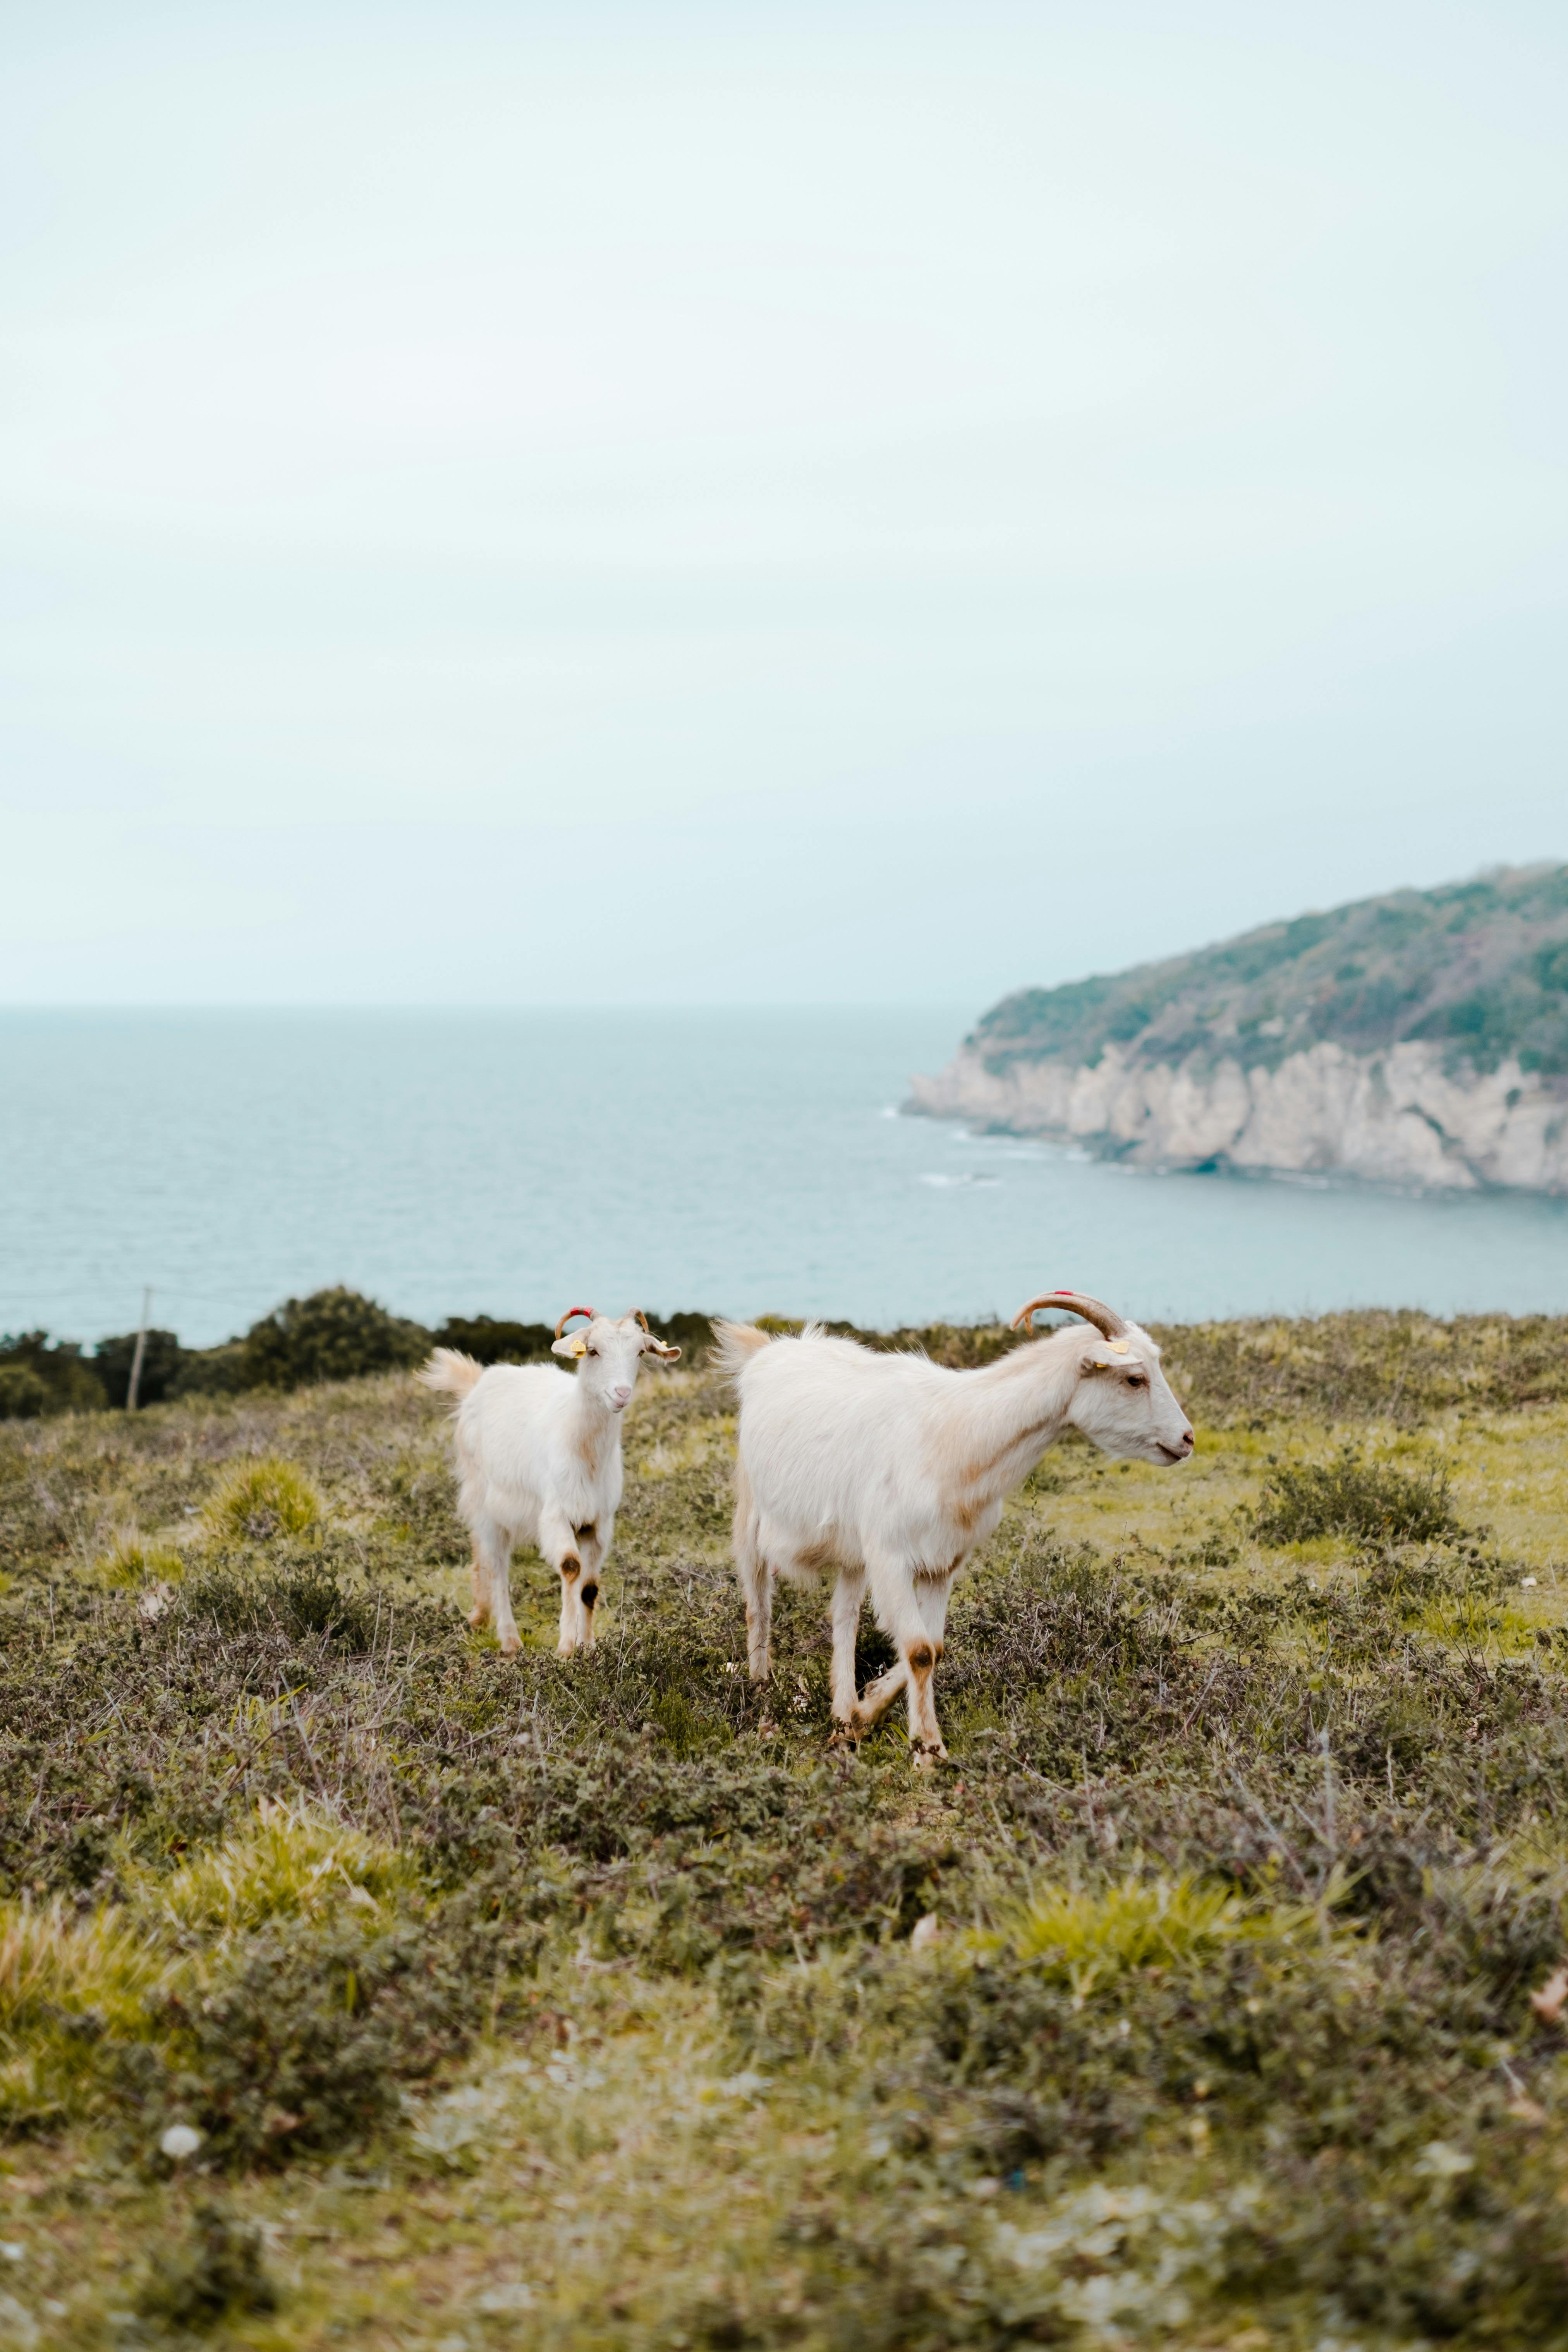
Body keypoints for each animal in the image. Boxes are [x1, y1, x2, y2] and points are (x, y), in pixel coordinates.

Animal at [420, 1307, 680, 1656]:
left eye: (639, 1352)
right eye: (593, 1350)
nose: (621, 1394)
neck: (584, 1450)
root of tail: (479, 1383)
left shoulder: (599, 1523)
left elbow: (589, 1588)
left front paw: (589, 1646)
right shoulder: (556, 1514)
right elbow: (571, 1567)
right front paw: (566, 1648)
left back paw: (481, 1616)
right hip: (486, 1503)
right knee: (497, 1566)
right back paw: (510, 1642)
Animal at [714, 1290, 1193, 1764]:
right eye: (1134, 1378)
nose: (1186, 1439)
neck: (955, 1436)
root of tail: (768, 1350)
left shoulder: (941, 1562)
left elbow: (935, 1647)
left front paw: (869, 1712)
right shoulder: (891, 1557)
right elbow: (919, 1650)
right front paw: (928, 1750)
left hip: (854, 1552)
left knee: (843, 1617)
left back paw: (841, 1721)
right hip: (751, 1514)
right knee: (758, 1607)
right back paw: (763, 1707)